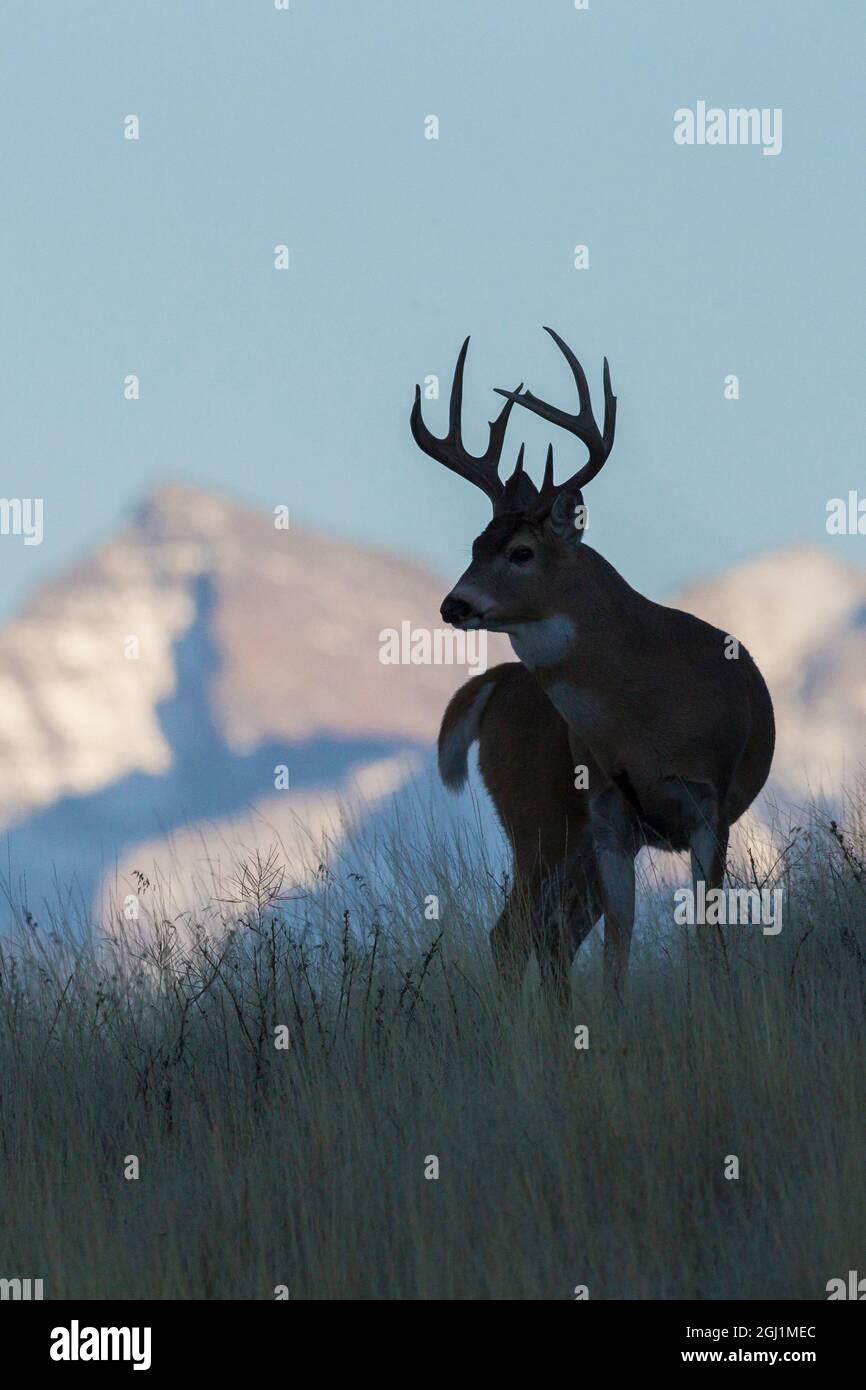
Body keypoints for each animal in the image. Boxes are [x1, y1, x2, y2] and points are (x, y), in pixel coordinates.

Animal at [412, 330, 775, 1000]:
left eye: (520, 551)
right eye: (474, 544)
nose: (454, 604)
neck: (646, 710)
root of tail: (497, 683)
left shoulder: (709, 799)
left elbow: (703, 934)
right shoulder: (608, 809)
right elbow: (619, 940)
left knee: (549, 935)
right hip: (538, 812)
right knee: (518, 933)